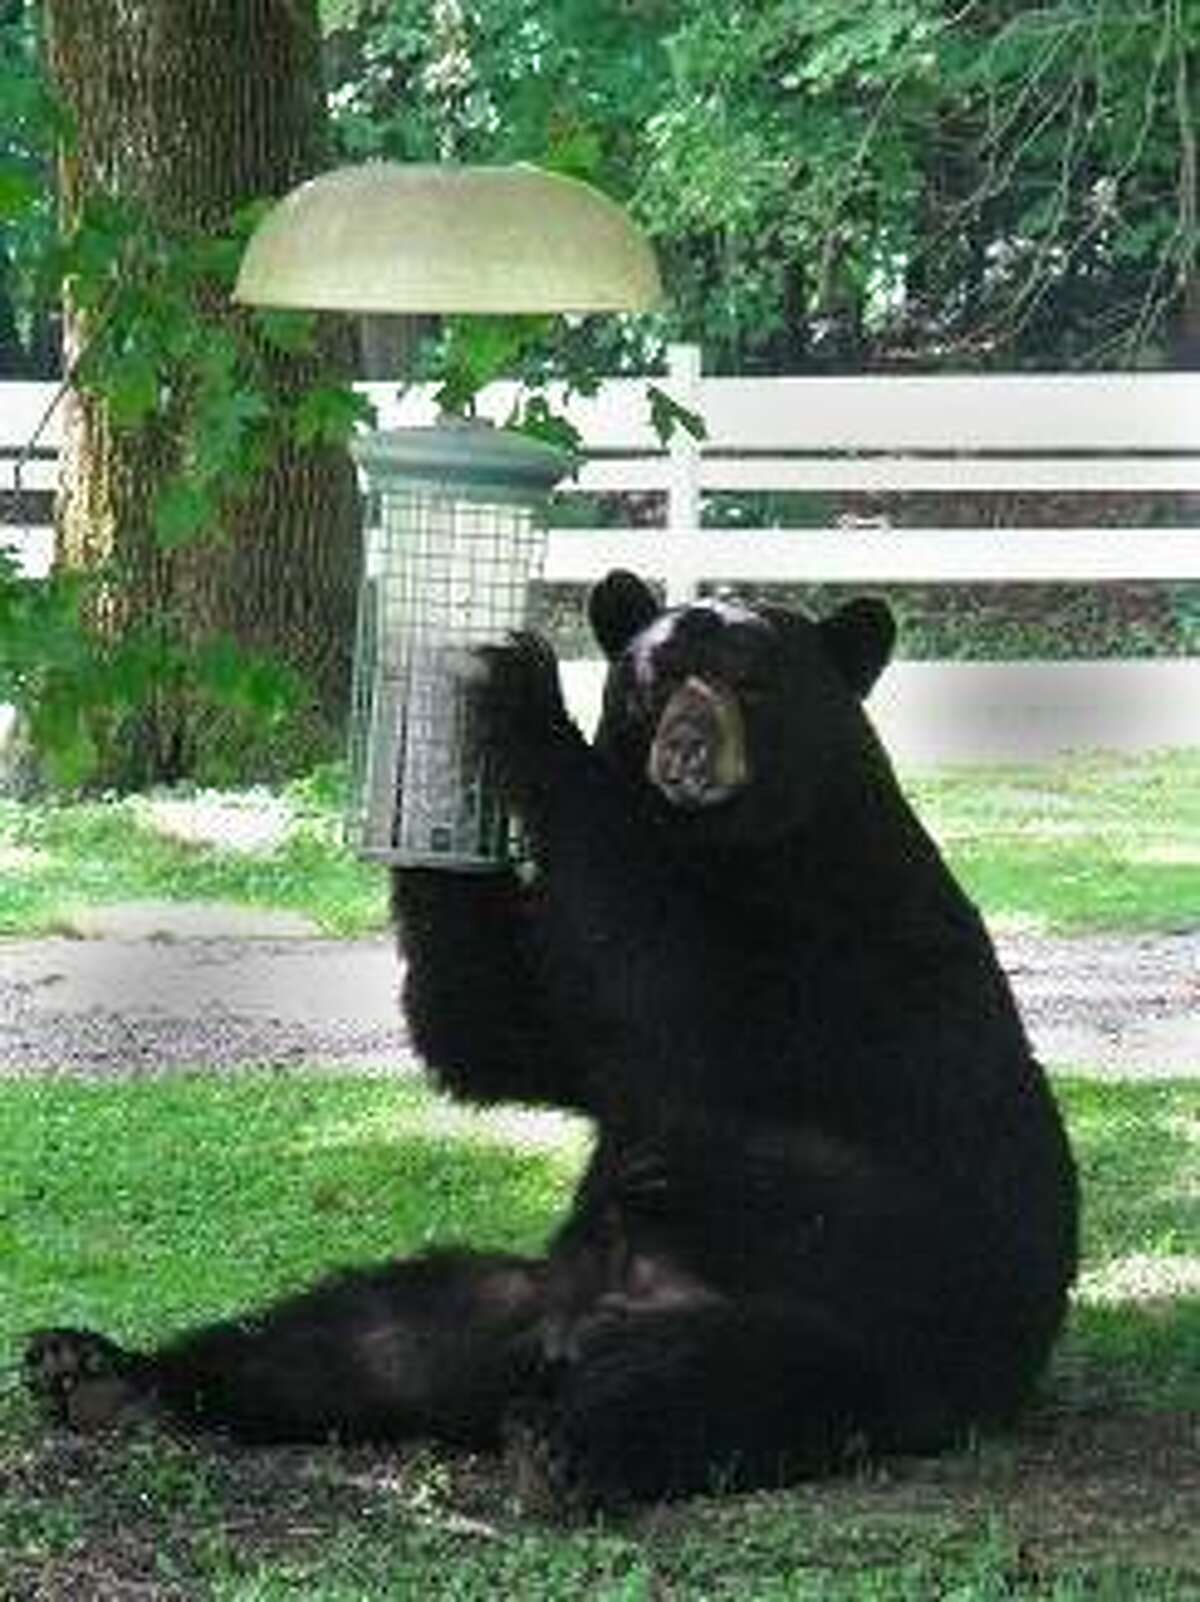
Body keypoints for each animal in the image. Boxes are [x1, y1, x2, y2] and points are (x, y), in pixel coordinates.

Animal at [24, 570, 1078, 1512]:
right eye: (653, 680)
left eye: (751, 682)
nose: (685, 747)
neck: (721, 846)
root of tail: (565, 1337)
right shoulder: (599, 1030)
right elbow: (502, 1031)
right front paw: (430, 795)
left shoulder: (840, 939)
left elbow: (683, 996)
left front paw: (525, 698)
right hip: (505, 1303)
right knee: (358, 1332)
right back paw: (102, 1374)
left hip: (854, 1320)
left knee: (721, 1381)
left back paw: (562, 1447)